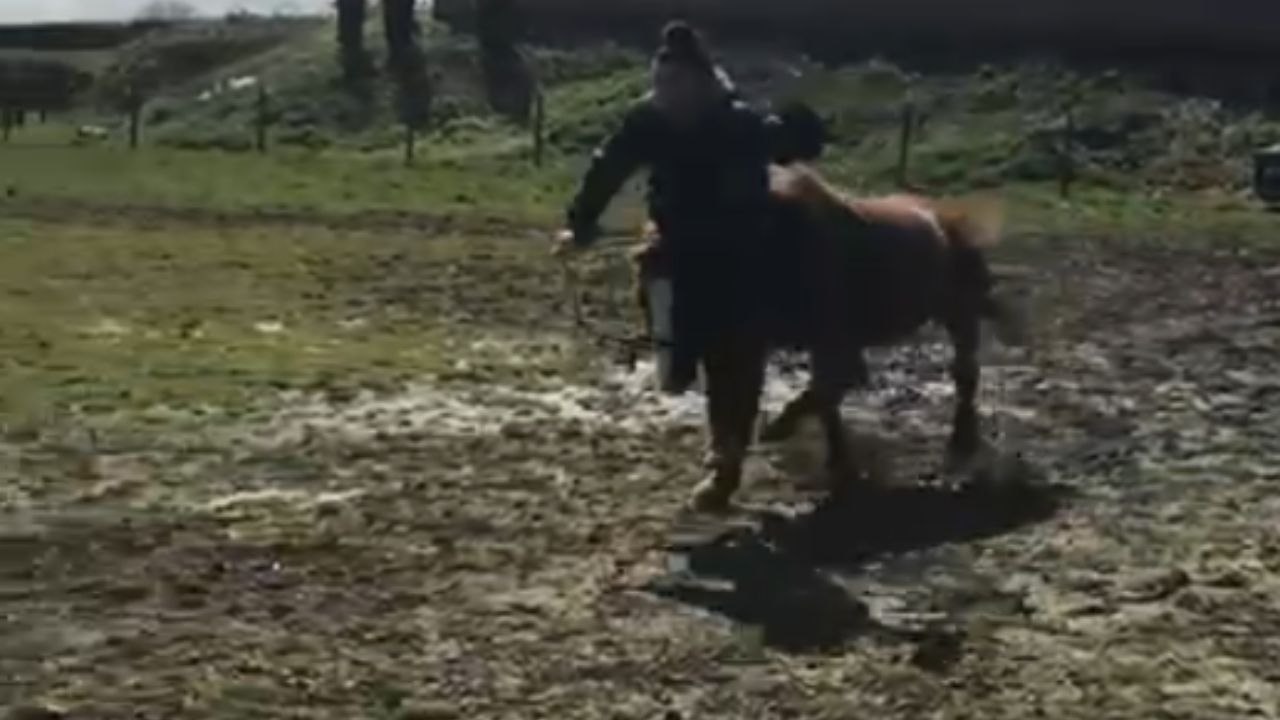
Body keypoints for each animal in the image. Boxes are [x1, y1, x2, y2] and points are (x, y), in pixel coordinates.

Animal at [631, 163, 1028, 512]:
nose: (670, 378)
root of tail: (947, 217)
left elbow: (819, 394)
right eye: (644, 297)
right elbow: (738, 410)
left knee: (965, 373)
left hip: (959, 314)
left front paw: (782, 434)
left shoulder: (823, 338)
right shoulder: (746, 344)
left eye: (691, 294)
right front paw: (716, 487)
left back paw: (962, 445)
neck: (766, 250)